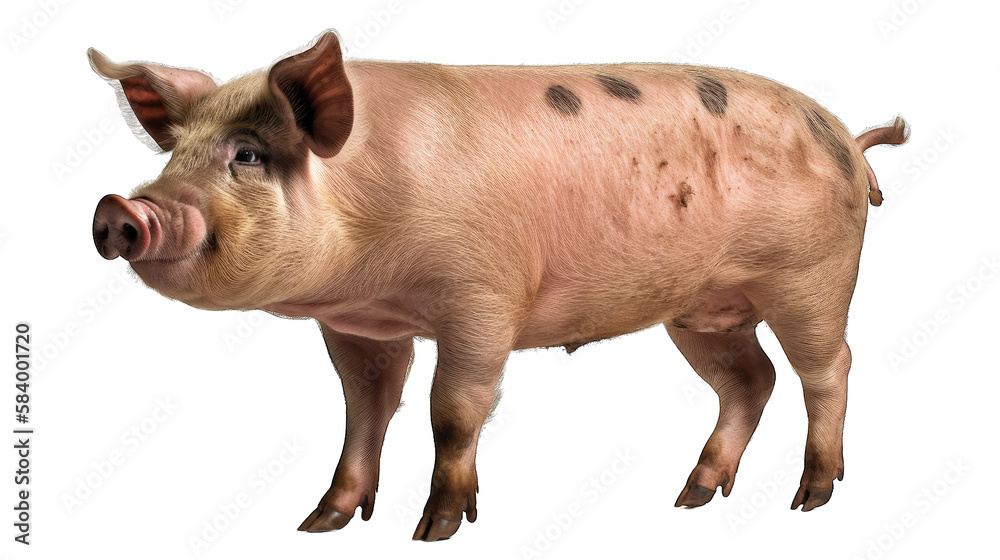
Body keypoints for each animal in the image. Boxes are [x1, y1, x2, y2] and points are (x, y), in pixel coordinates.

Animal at [88, 30, 909, 541]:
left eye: (250, 154)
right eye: (175, 155)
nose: (120, 209)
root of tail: (848, 135)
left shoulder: (481, 295)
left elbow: (454, 408)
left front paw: (434, 530)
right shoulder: (358, 325)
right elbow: (364, 407)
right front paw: (319, 522)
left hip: (812, 274)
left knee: (826, 367)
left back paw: (810, 499)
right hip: (704, 308)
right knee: (750, 378)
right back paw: (691, 496)